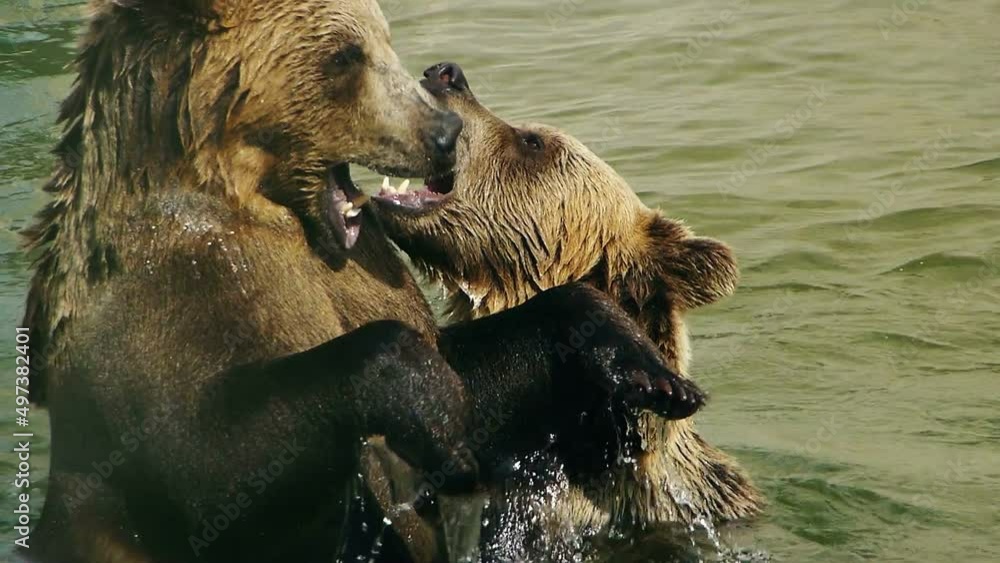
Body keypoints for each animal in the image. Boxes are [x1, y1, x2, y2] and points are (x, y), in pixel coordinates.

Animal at [20, 2, 706, 562]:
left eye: (381, 40)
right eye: (349, 56)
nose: (442, 126)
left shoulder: (359, 280)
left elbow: (479, 369)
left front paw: (646, 370)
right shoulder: (172, 311)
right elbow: (214, 469)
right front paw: (440, 425)